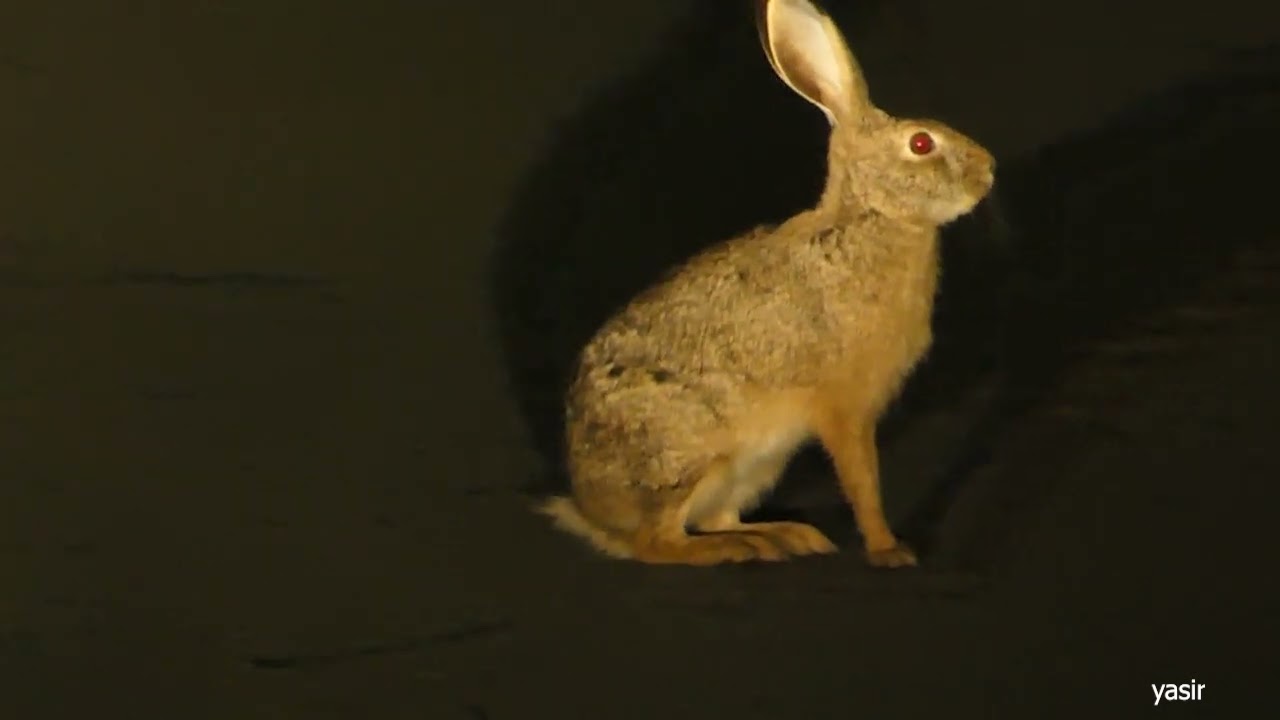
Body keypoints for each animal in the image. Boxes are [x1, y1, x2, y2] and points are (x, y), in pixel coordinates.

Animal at [537, 0, 995, 567]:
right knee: (658, 543)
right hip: (689, 451)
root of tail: (592, 510)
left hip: (753, 467)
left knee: (712, 520)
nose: (990, 171)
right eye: (921, 143)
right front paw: (889, 551)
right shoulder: (843, 407)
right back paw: (734, 549)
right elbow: (862, 481)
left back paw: (782, 537)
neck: (869, 218)